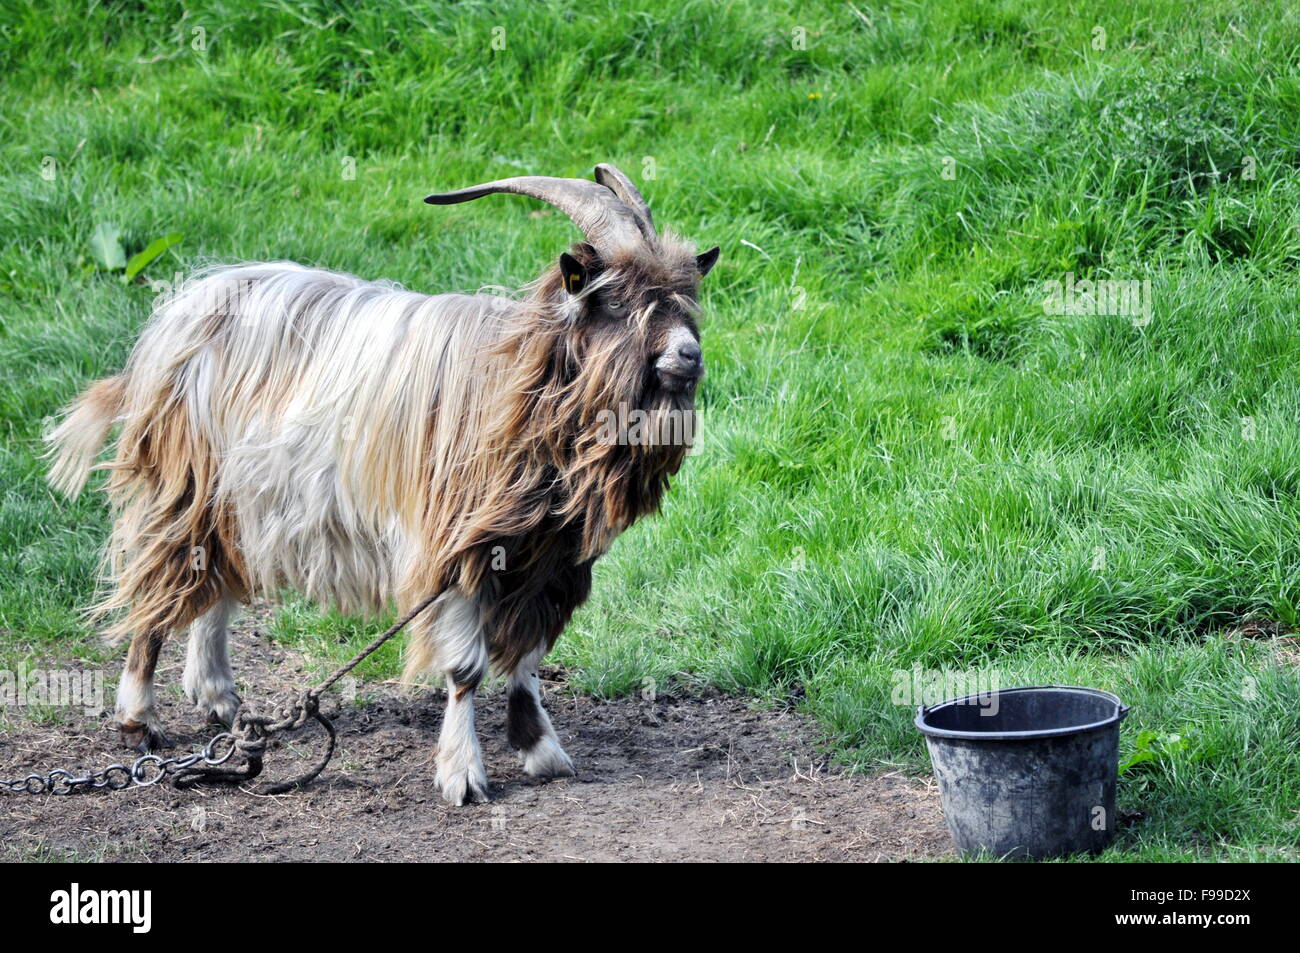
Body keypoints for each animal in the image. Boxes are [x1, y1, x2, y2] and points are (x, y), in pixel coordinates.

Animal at [46, 164, 719, 805]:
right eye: (619, 302)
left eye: (684, 300)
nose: (689, 355)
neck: (521, 384)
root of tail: (182, 310)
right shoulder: (455, 548)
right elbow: (467, 667)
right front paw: (462, 775)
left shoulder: (549, 557)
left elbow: (527, 658)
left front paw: (541, 750)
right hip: (183, 483)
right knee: (160, 580)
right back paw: (139, 717)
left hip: (240, 499)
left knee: (216, 575)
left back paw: (219, 700)